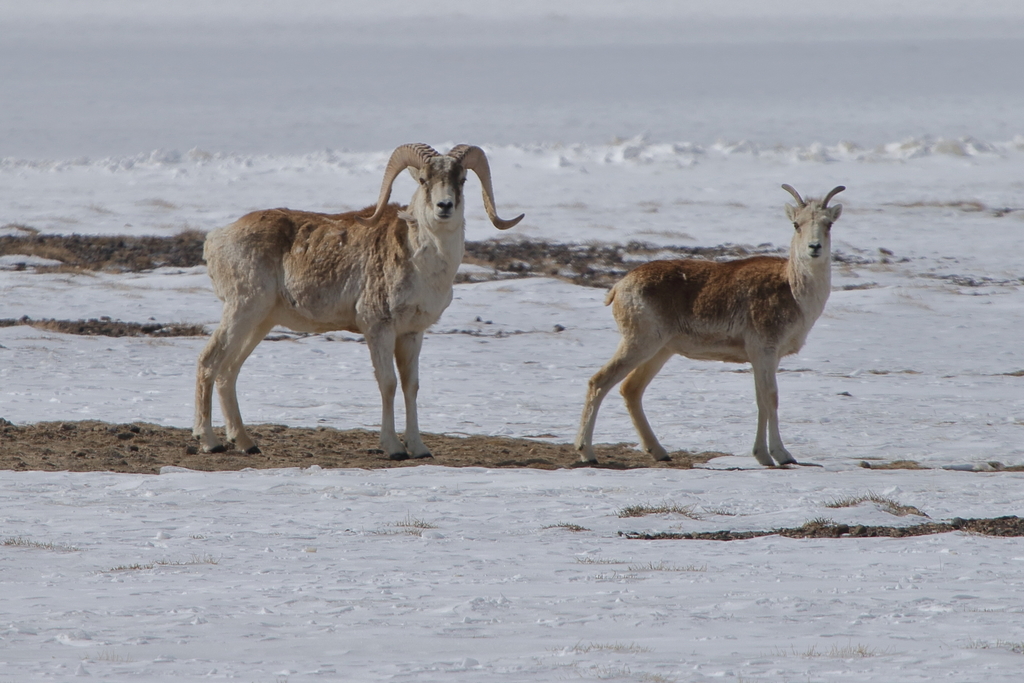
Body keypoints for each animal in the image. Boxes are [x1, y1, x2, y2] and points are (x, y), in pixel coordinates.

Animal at [193, 143, 524, 459]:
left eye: (462, 179)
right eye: (423, 179)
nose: (445, 206)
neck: (424, 264)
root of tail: (216, 238)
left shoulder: (411, 334)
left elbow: (411, 386)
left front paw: (419, 448)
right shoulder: (378, 328)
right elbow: (388, 384)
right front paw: (394, 449)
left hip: (260, 322)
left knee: (228, 372)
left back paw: (246, 444)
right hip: (243, 310)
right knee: (209, 362)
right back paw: (209, 442)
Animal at [574, 184, 845, 466]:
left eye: (828, 224)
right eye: (796, 224)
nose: (814, 247)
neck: (793, 290)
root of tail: (619, 287)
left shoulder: (765, 358)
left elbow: (762, 400)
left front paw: (766, 456)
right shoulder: (764, 352)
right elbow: (770, 399)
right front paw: (779, 456)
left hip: (660, 352)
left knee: (630, 389)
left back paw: (660, 452)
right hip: (639, 345)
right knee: (599, 382)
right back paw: (588, 454)